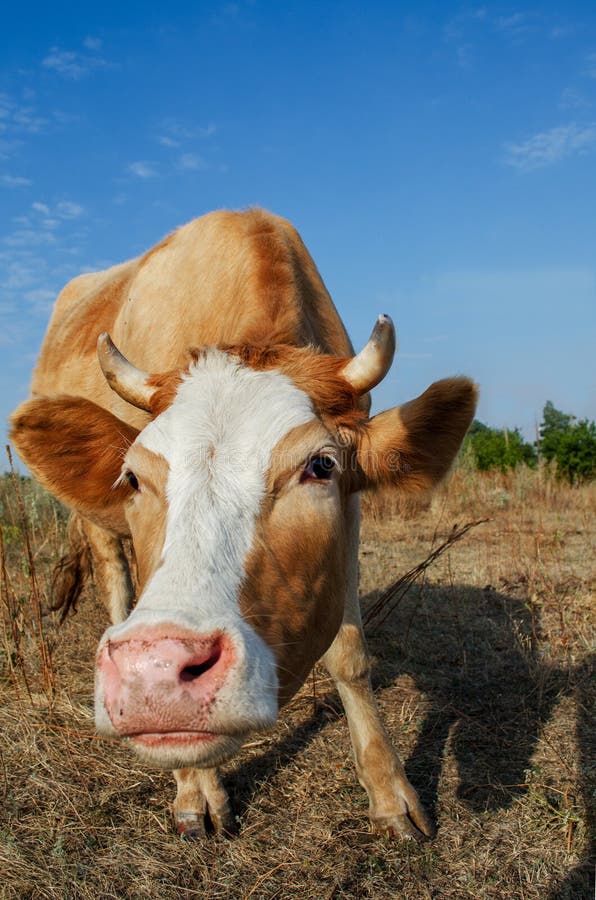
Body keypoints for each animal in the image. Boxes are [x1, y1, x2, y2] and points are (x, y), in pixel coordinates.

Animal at [10, 208, 476, 841]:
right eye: (132, 476)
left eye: (320, 465)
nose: (154, 674)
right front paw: (195, 789)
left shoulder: (350, 515)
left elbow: (350, 654)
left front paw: (391, 795)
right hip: (94, 524)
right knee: (114, 581)